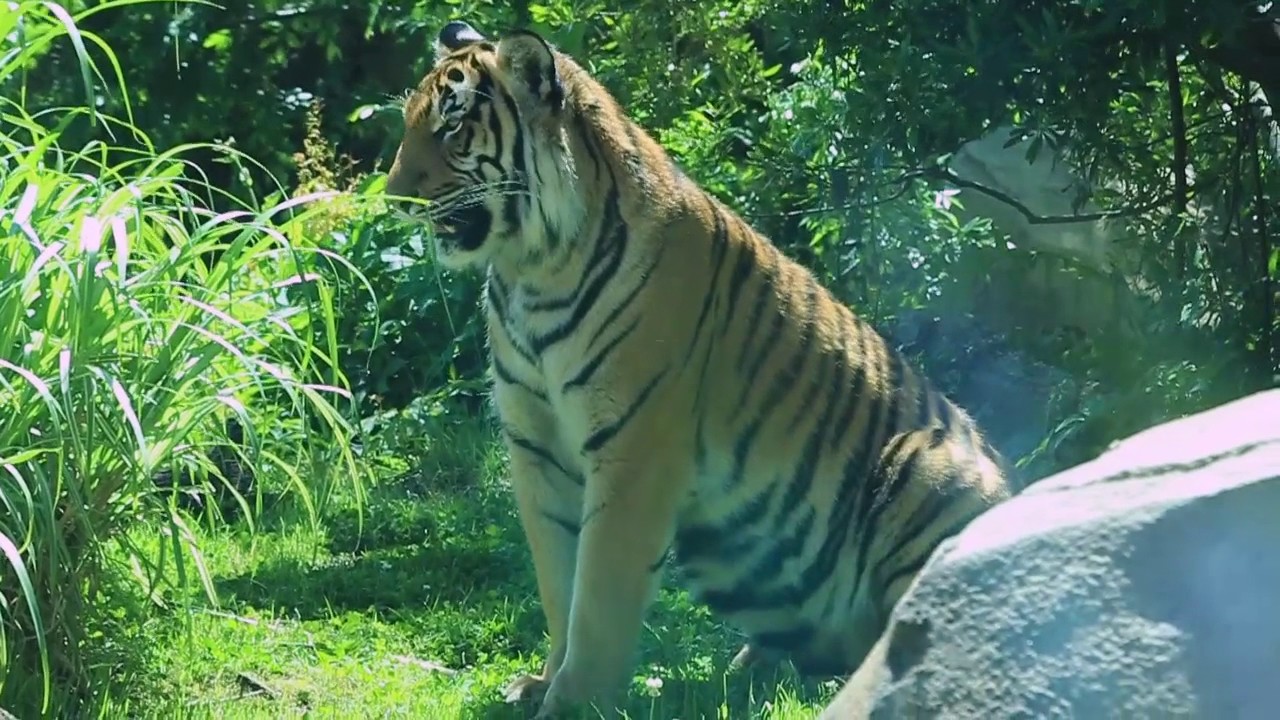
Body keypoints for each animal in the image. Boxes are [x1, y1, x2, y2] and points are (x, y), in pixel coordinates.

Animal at [383, 20, 1014, 718]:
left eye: (452, 127)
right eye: (412, 122)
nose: (392, 199)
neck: (531, 268)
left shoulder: (634, 451)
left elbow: (598, 594)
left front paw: (577, 700)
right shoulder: (535, 445)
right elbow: (558, 581)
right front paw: (543, 684)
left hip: (925, 462)